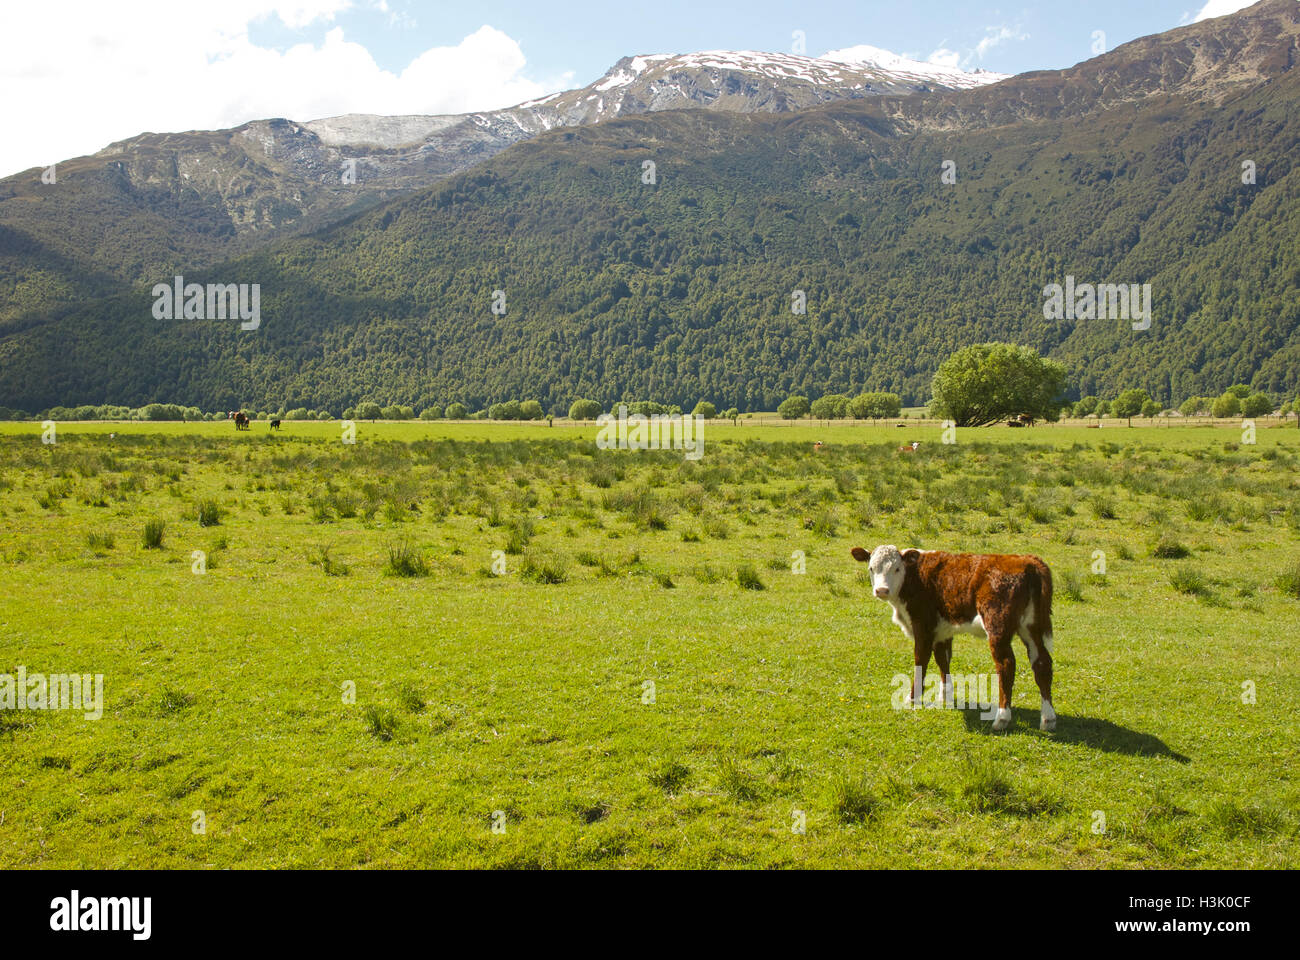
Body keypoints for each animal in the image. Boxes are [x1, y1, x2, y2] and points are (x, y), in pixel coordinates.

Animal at [851, 544, 1056, 732]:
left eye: (897, 569)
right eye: (871, 568)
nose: (881, 590)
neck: (913, 578)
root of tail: (1027, 561)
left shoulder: (923, 625)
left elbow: (921, 660)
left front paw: (913, 698)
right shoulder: (943, 630)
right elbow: (943, 660)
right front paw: (945, 696)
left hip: (998, 626)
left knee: (1006, 665)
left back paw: (1002, 718)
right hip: (1032, 627)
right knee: (1042, 663)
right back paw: (1048, 719)